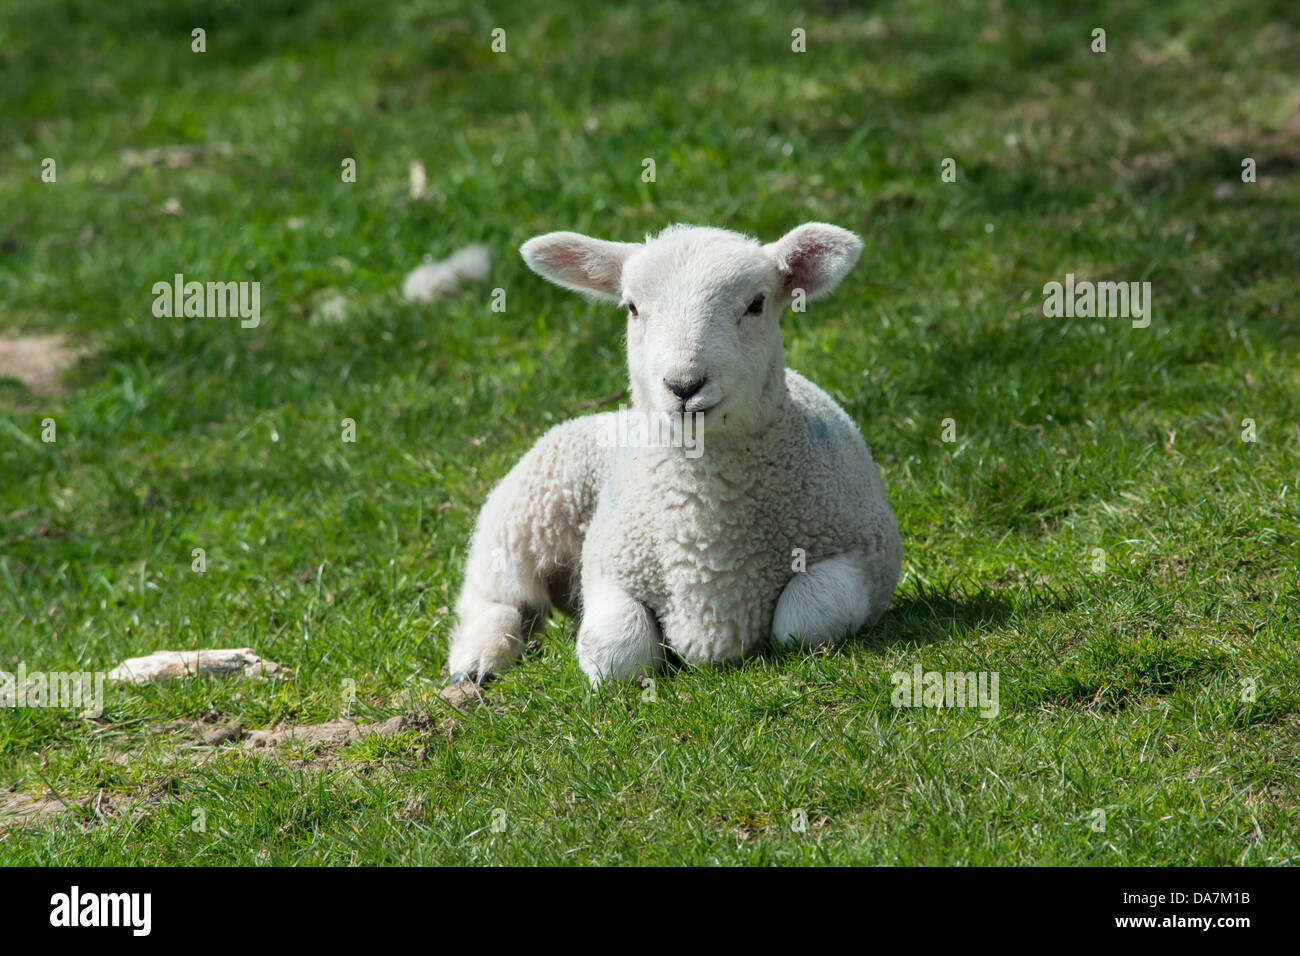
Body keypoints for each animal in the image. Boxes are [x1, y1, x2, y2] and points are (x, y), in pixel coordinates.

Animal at [447, 222, 901, 686]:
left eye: (756, 304)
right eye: (632, 307)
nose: (684, 386)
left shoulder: (864, 556)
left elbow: (803, 618)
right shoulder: (608, 571)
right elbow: (617, 651)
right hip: (531, 502)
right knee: (496, 593)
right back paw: (478, 658)